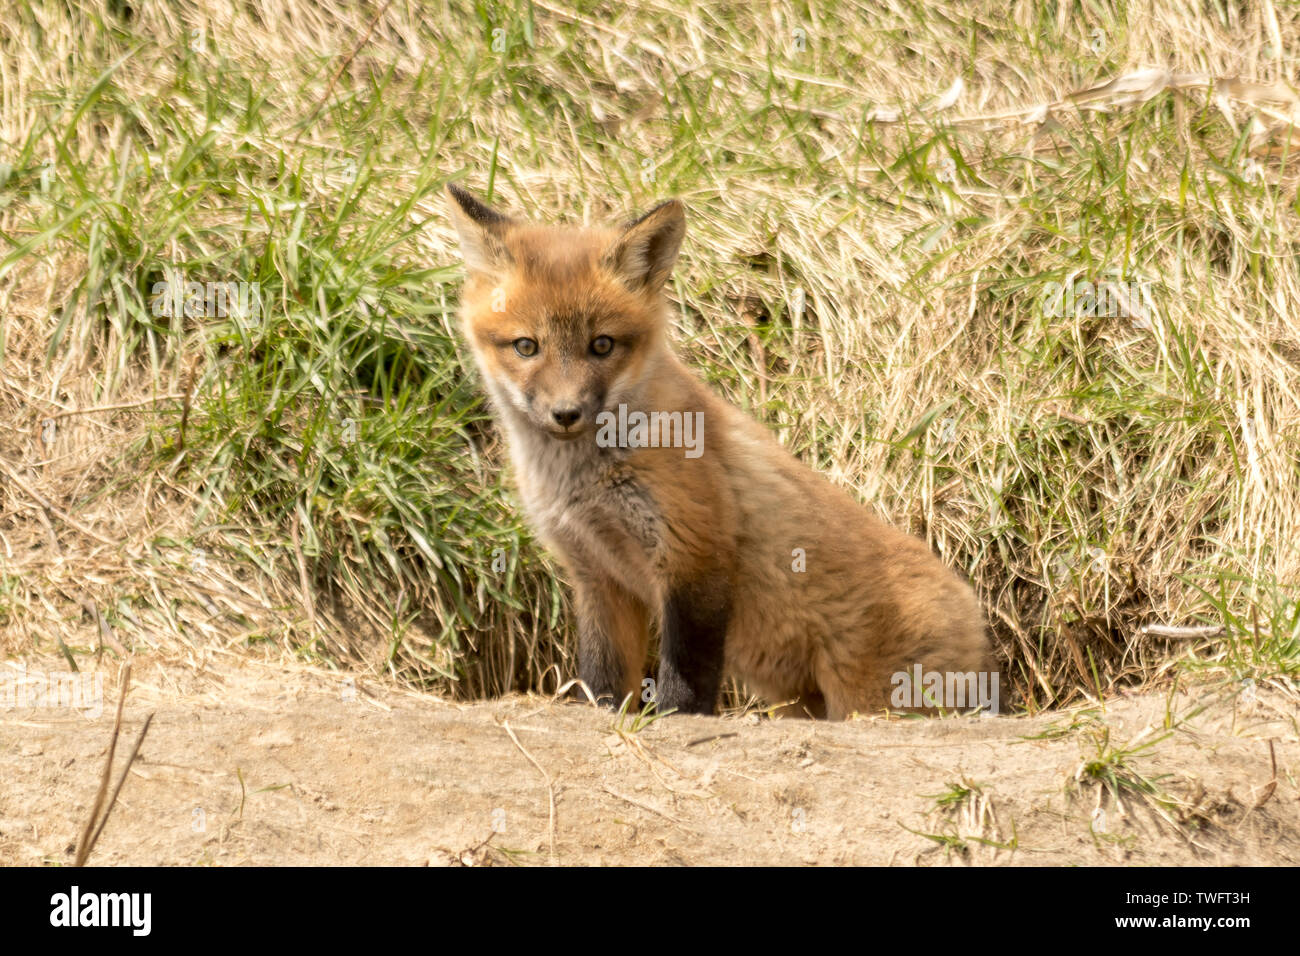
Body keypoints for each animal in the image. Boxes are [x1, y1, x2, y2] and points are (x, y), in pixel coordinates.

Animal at [446, 183, 992, 719]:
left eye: (602, 345)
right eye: (526, 346)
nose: (566, 413)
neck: (583, 482)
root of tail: (976, 616)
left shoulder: (695, 557)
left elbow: (686, 679)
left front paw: (676, 717)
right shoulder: (598, 576)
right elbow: (603, 680)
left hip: (866, 700)